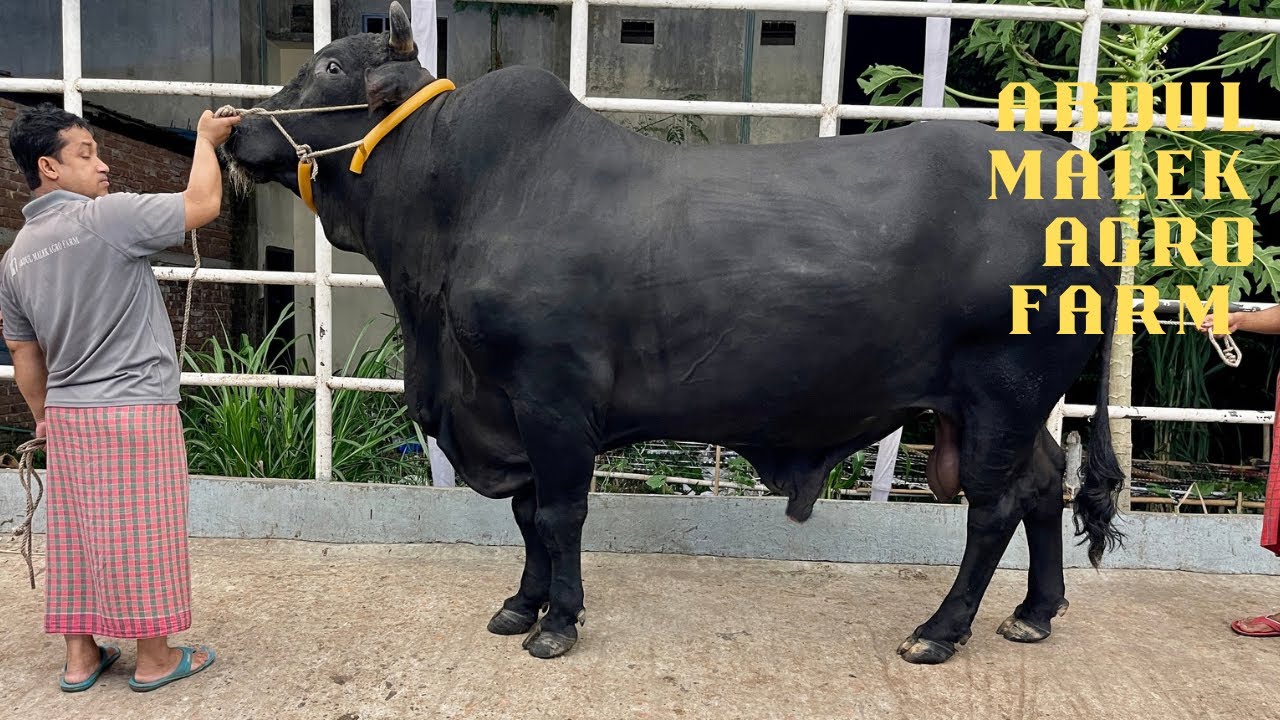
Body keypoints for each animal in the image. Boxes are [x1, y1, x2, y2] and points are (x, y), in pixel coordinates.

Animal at [222, 1, 1125, 665]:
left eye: (330, 68)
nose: (232, 128)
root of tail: (1088, 185)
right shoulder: (506, 406)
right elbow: (525, 513)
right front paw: (521, 603)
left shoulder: (551, 397)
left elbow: (559, 513)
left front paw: (559, 622)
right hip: (1007, 403)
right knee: (1045, 484)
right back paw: (1035, 612)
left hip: (1002, 390)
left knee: (993, 507)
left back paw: (939, 632)